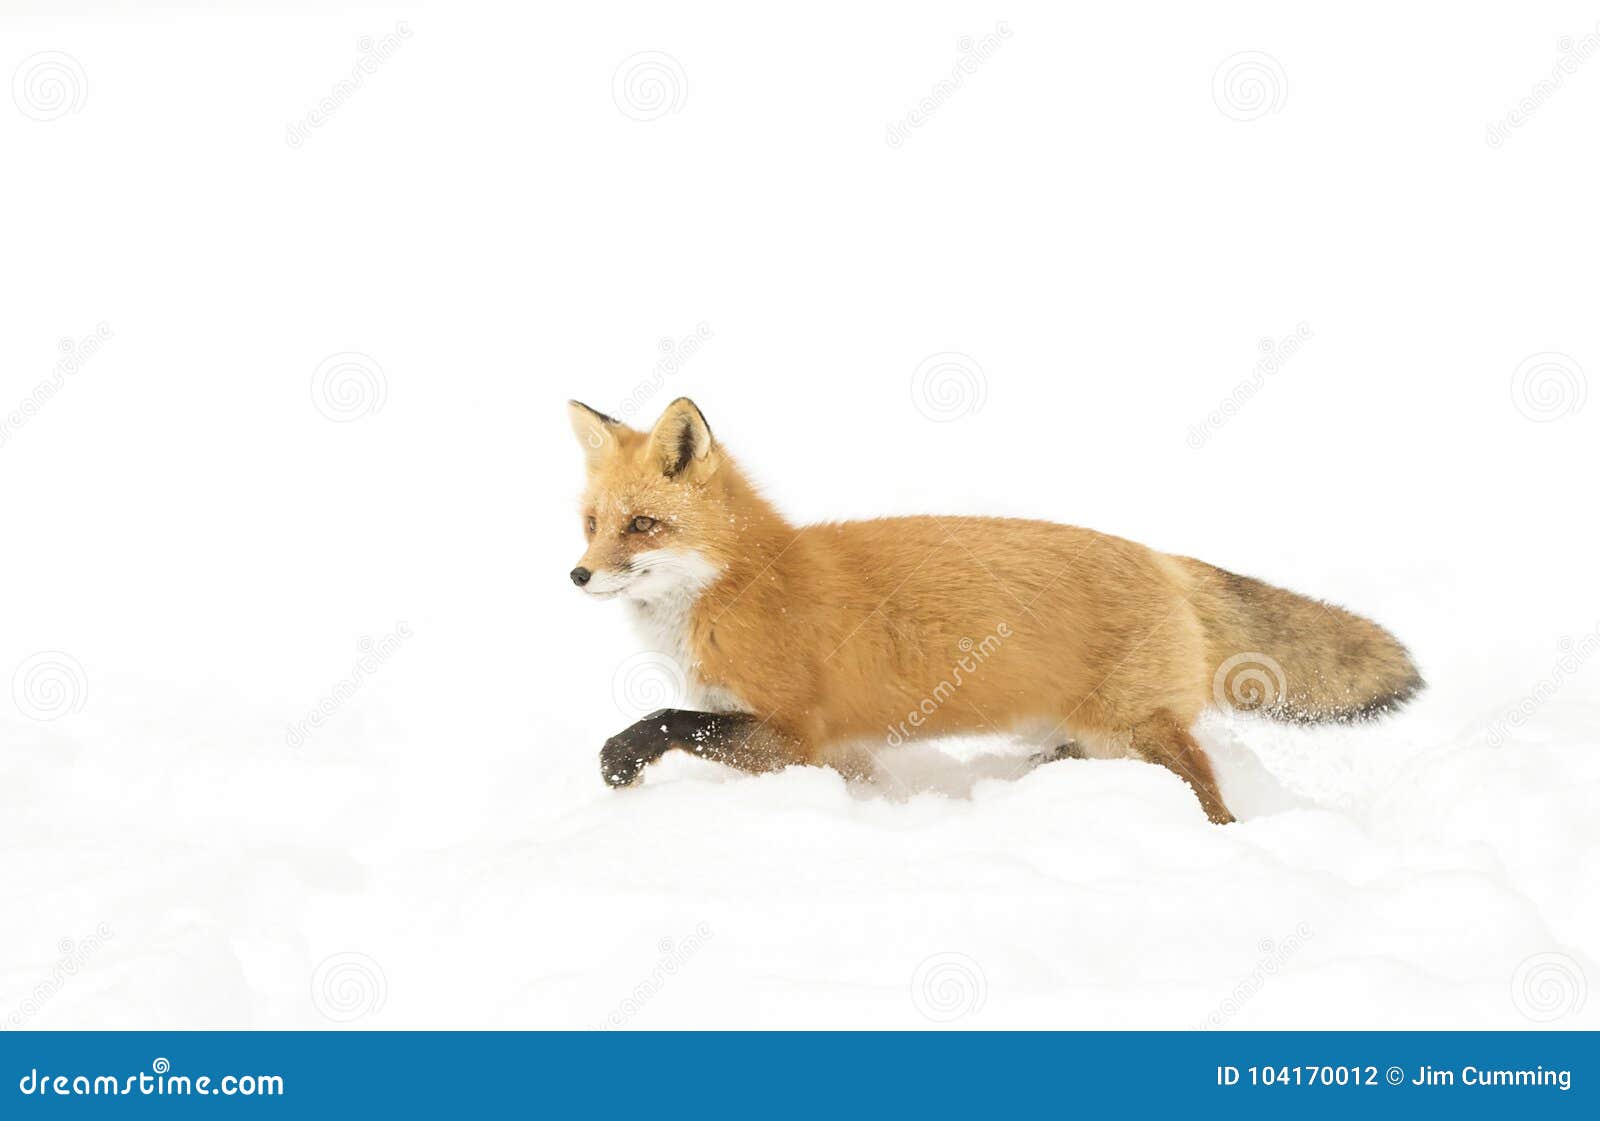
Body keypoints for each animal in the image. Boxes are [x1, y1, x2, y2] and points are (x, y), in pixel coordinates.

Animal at [567, 396, 1423, 823]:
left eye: (642, 525)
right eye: (592, 522)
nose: (576, 575)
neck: (741, 582)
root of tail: (1161, 558)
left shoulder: (792, 732)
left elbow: (667, 720)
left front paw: (619, 760)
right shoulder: (839, 751)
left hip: (1135, 729)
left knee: (1208, 792)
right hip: (1089, 734)